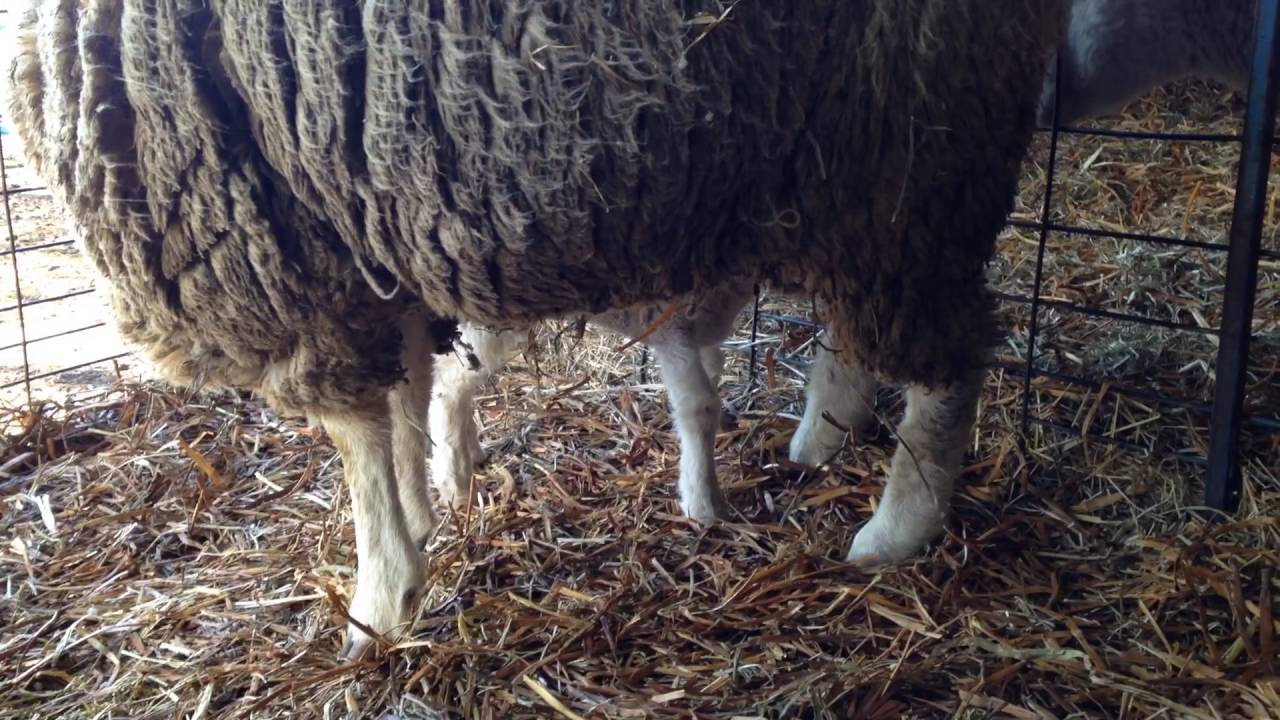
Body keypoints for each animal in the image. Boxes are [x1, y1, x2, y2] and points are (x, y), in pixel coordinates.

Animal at [430, 279, 753, 523]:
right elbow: (699, 407)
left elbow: (714, 367)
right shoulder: (671, 327)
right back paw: (456, 485)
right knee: (448, 384)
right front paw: (703, 504)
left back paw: (471, 453)